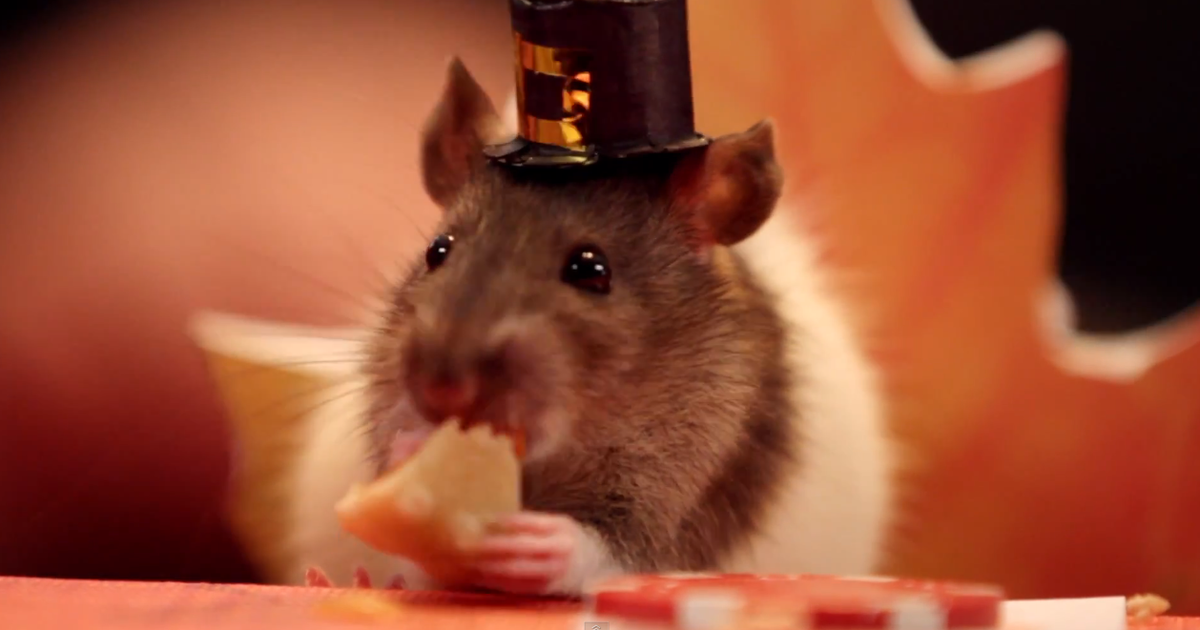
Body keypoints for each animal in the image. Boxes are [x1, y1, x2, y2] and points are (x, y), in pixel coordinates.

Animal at [283, 58, 893, 596]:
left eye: (591, 269)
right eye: (438, 251)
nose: (441, 390)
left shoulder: (698, 462)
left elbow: (631, 548)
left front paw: (557, 546)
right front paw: (412, 449)